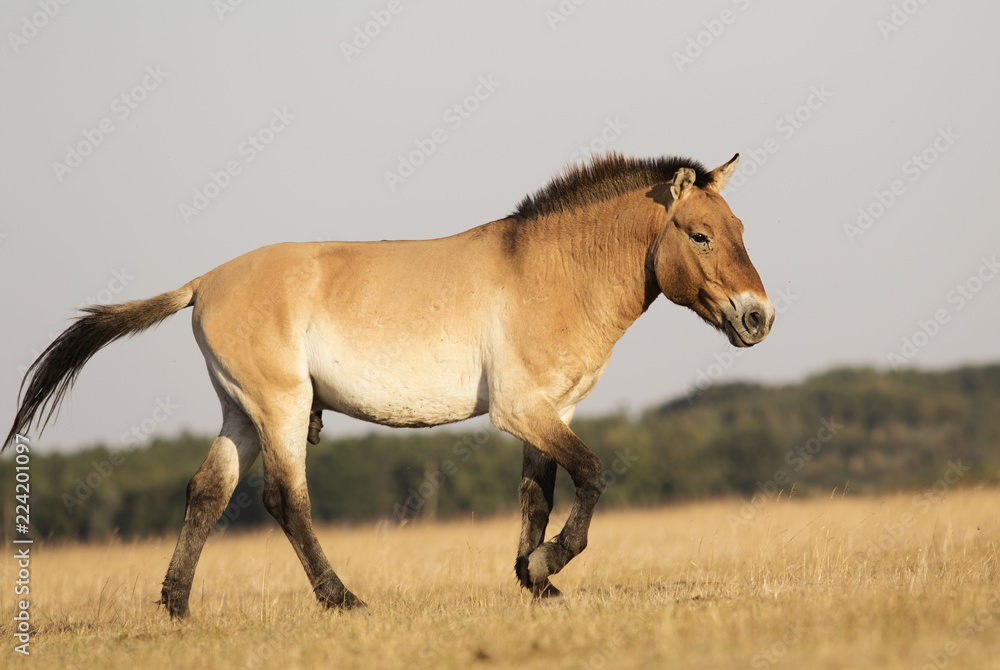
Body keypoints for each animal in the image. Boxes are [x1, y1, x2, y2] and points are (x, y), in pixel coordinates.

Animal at [4, 152, 774, 617]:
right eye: (700, 235)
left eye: (740, 226)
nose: (759, 318)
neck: (549, 272)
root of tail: (204, 282)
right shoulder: (523, 410)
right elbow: (590, 476)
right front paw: (546, 564)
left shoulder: (551, 410)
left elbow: (538, 494)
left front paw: (536, 580)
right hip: (282, 409)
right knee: (284, 500)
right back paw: (340, 598)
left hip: (241, 414)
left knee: (207, 493)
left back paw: (177, 604)